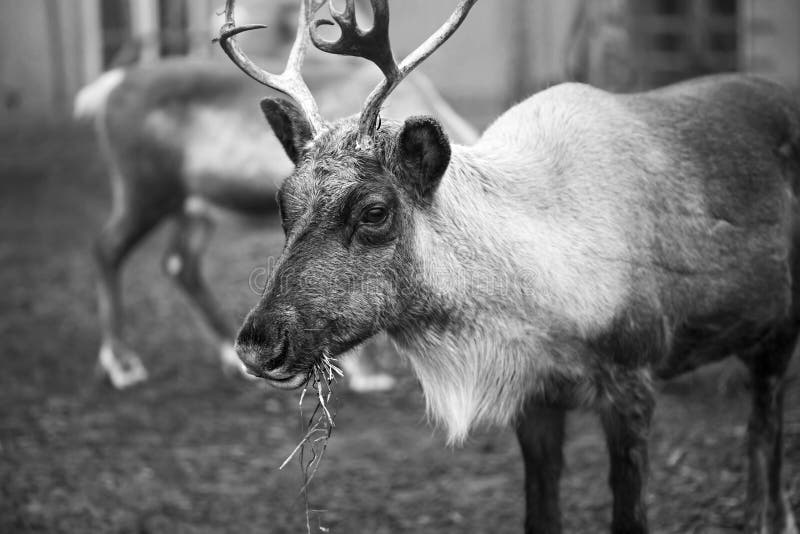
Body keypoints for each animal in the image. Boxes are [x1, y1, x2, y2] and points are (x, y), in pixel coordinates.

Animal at [74, 5, 478, 391]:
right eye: (281, 201)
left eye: (374, 213)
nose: (259, 349)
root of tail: (110, 86)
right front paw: (367, 374)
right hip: (144, 189)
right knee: (107, 248)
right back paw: (122, 363)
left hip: (192, 206)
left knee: (179, 264)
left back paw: (222, 355)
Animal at [221, 0, 800, 532]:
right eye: (283, 202)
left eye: (375, 211)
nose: (258, 344)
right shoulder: (535, 397)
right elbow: (539, 514)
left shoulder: (634, 381)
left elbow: (629, 515)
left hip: (778, 332)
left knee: (764, 431)